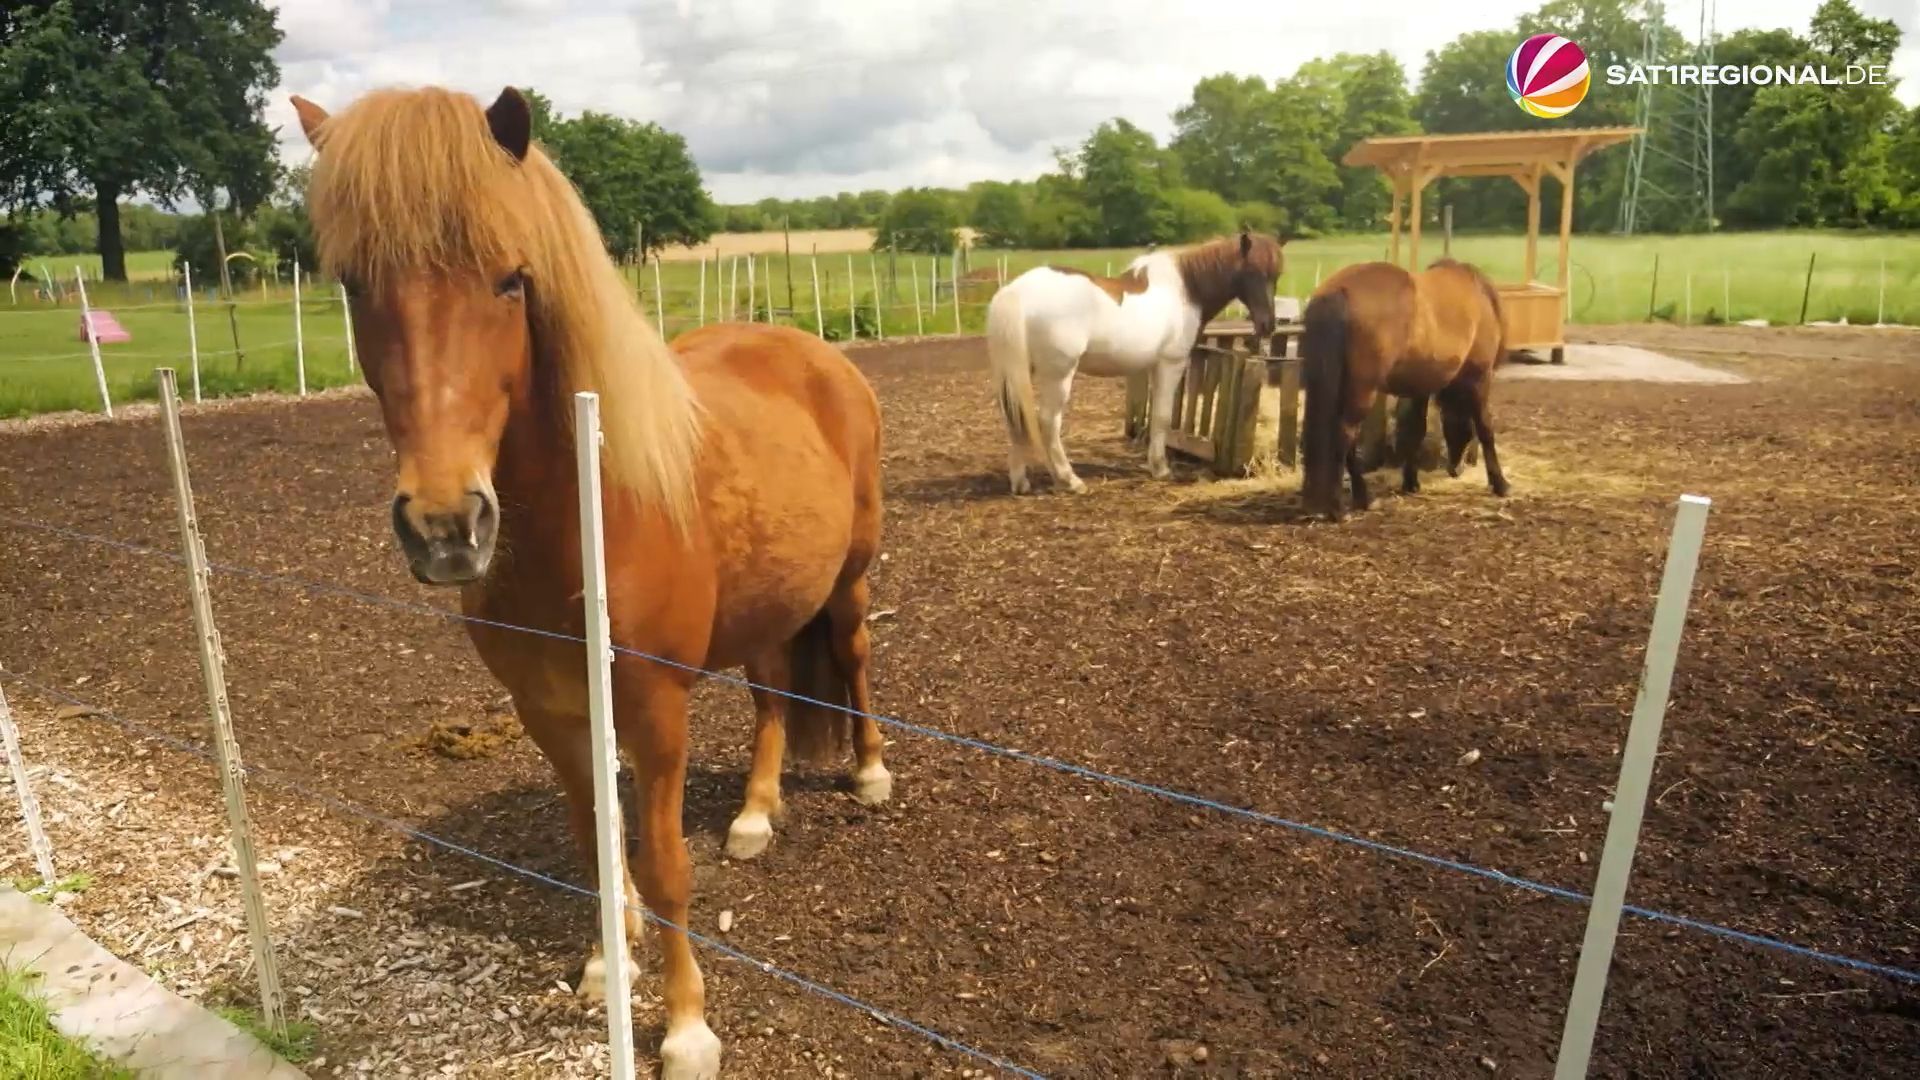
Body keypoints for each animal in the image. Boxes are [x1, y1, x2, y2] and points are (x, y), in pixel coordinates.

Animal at [291, 85, 891, 1080]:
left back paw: (872, 773)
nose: (445, 526)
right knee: (772, 696)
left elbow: (664, 865)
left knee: (851, 657)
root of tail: (816, 353)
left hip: (847, 581)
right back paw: (756, 815)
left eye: (509, 279)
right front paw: (610, 966)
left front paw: (686, 1028)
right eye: (353, 284)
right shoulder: (550, 709)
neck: (585, 519)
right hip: (767, 603)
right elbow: (595, 847)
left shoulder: (653, 708)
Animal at [987, 230, 1284, 494]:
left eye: (1276, 275)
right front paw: (1161, 468)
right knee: (1048, 422)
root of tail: (1015, 292)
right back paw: (1069, 480)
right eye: (1252, 272)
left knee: (1014, 417)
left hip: (1016, 373)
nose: (1267, 325)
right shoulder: (1170, 364)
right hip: (1058, 375)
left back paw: (1021, 483)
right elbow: (1162, 416)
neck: (1185, 290)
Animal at [1298, 257, 1511, 521]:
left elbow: (1414, 430)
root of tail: (1338, 291)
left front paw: (1411, 482)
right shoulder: (1479, 378)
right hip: (1362, 391)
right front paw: (1500, 483)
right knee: (1345, 435)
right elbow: (1485, 428)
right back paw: (1340, 507)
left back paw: (1361, 499)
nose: (1455, 468)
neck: (1480, 298)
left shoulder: (1420, 388)